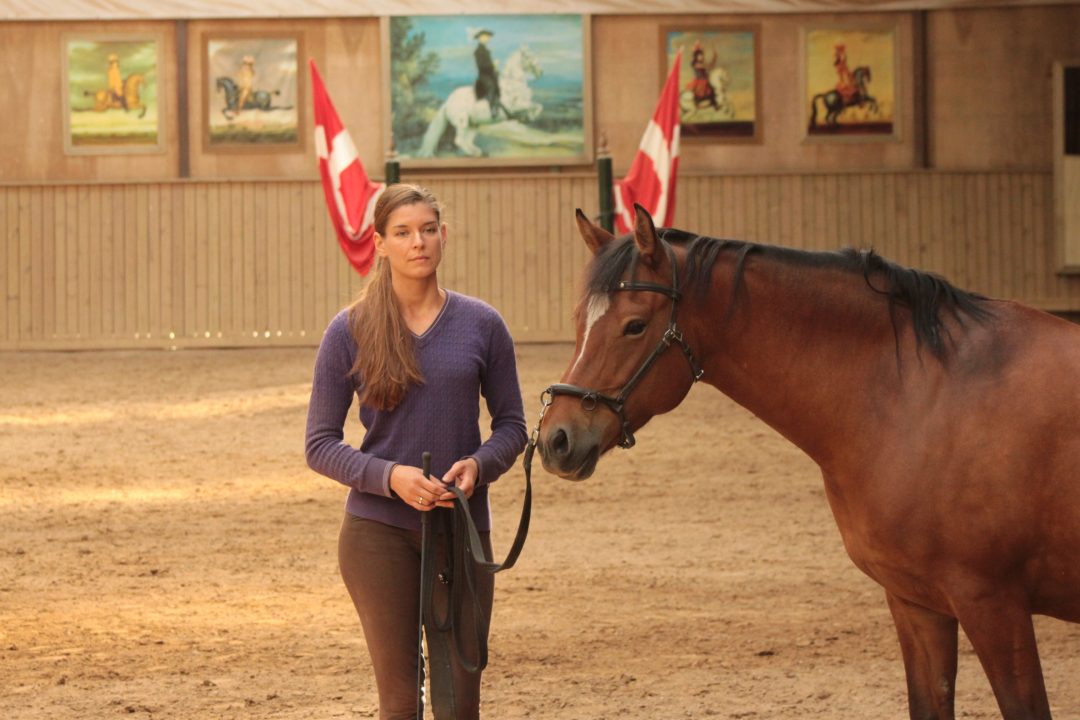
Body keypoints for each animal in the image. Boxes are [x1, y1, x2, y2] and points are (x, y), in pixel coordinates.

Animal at [535, 203, 1080, 720]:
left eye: (635, 326)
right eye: (580, 321)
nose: (556, 439)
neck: (918, 396)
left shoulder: (993, 606)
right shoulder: (918, 604)